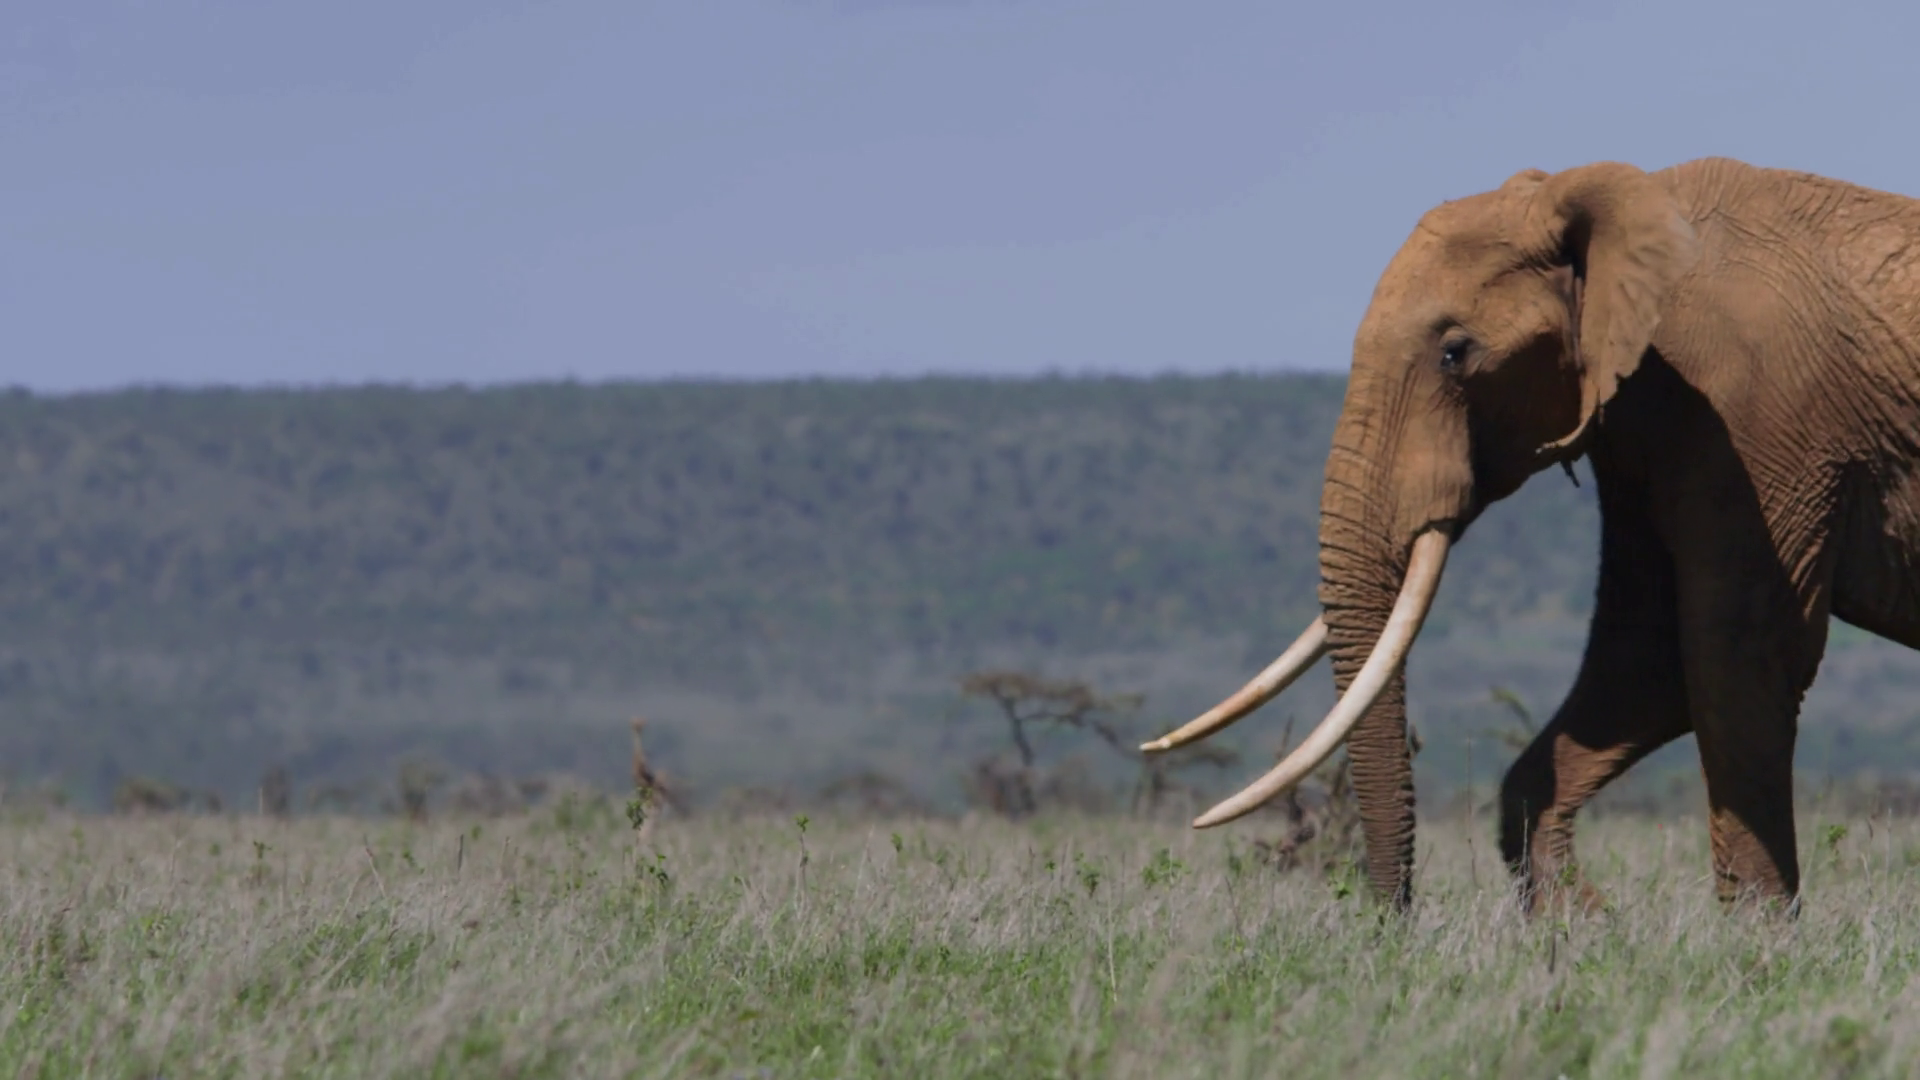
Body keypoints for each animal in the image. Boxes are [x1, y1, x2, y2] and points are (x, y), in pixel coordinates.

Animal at [1142, 156, 1920, 915]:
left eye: (1455, 353)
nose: (1395, 924)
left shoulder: (1756, 413)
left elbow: (1743, 649)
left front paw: (1753, 940)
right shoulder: (1649, 428)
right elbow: (1648, 656)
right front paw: (1585, 925)